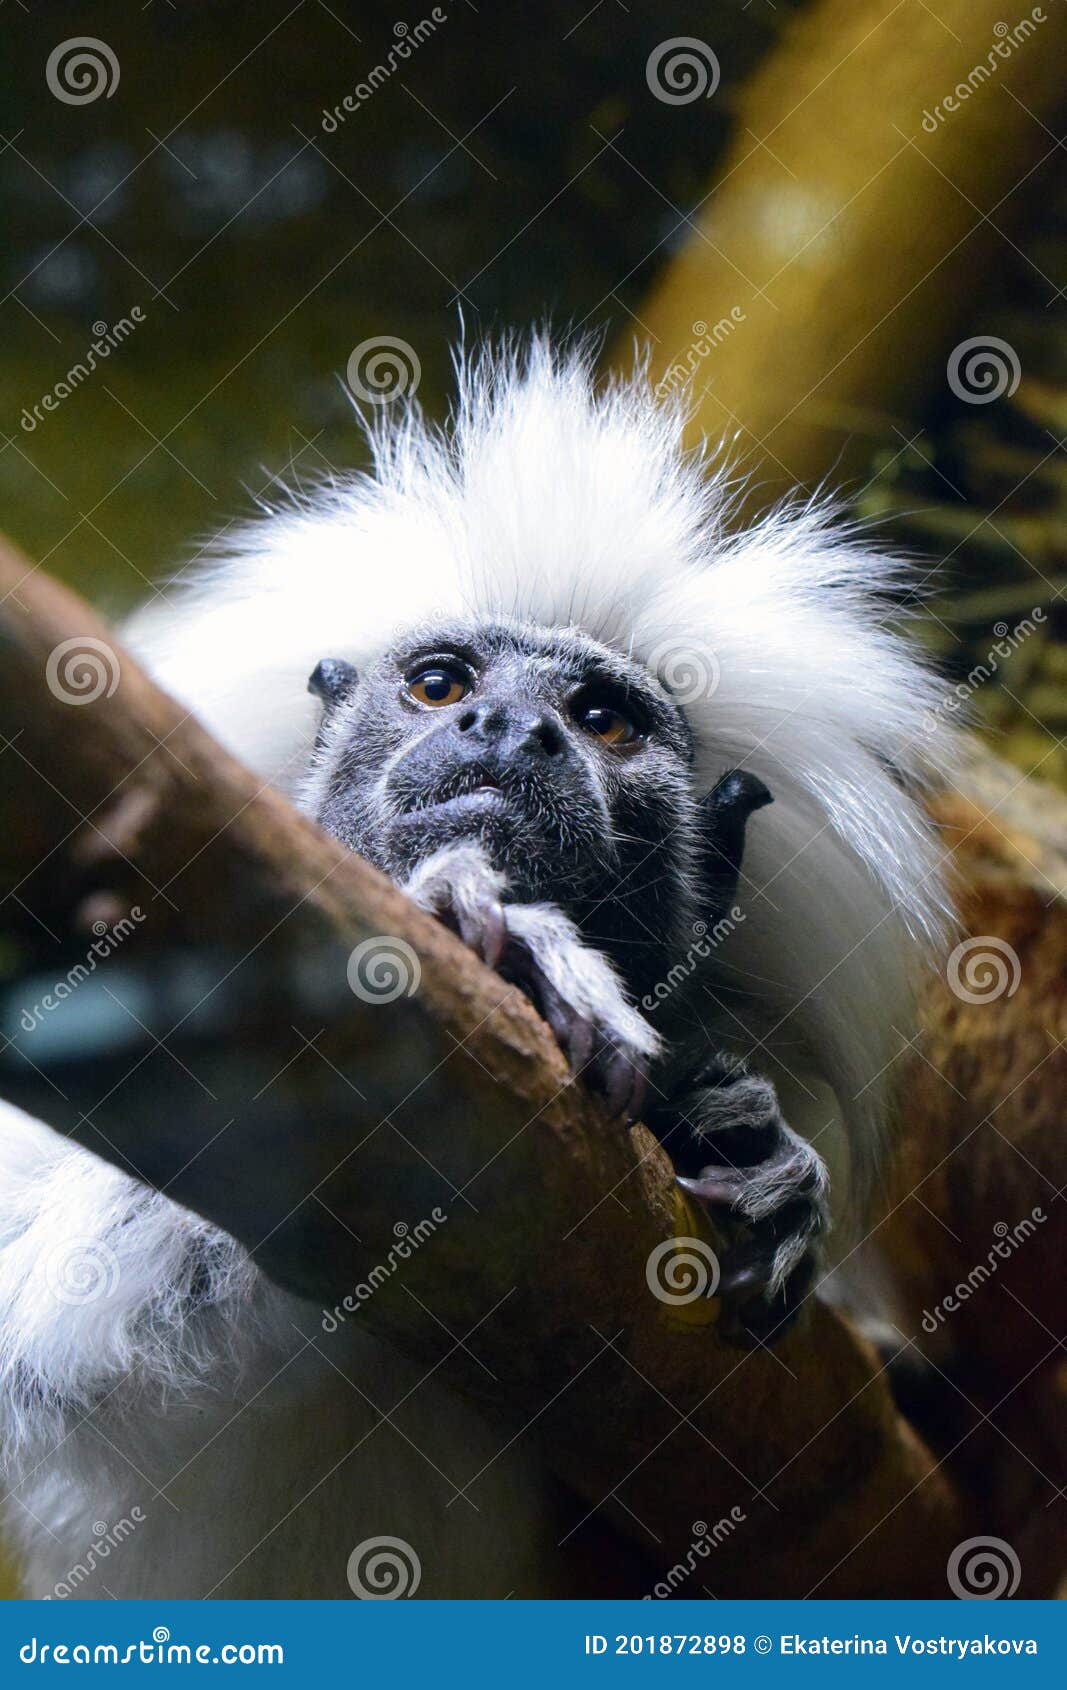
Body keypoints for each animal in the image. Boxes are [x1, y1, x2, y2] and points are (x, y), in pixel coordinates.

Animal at [0, 341, 955, 1597]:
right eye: (442, 684)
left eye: (599, 718)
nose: (510, 730)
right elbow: (48, 1349)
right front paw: (482, 931)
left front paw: (744, 1149)